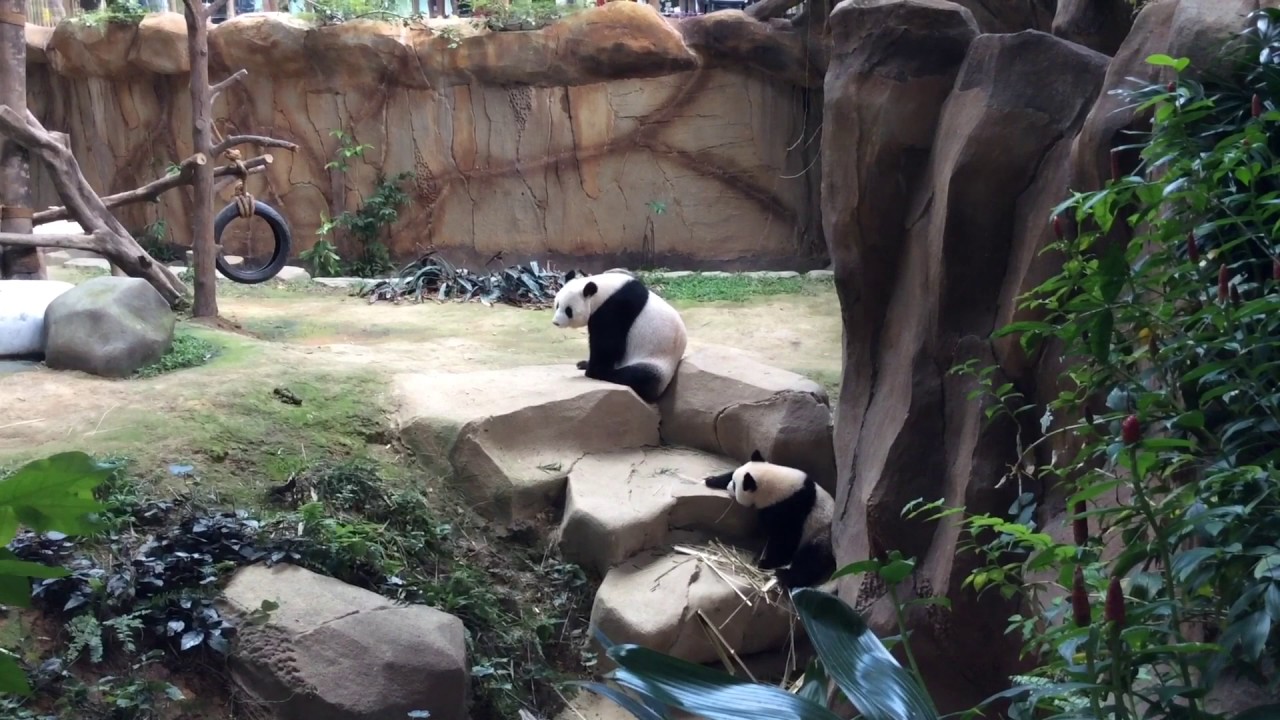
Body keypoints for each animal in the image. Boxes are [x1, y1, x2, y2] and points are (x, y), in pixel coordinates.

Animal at [551, 270, 687, 404]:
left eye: (568, 310)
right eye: (557, 305)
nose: (556, 322)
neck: (603, 292)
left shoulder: (616, 308)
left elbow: (608, 344)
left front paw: (593, 369)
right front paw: (586, 364)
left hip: (656, 361)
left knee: (641, 377)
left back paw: (605, 373)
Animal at [705, 450, 836, 590]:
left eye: (735, 486)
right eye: (733, 481)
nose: (729, 486)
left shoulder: (791, 508)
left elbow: (785, 539)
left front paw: (765, 563)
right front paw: (712, 480)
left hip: (820, 534)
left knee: (811, 560)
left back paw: (785, 575)